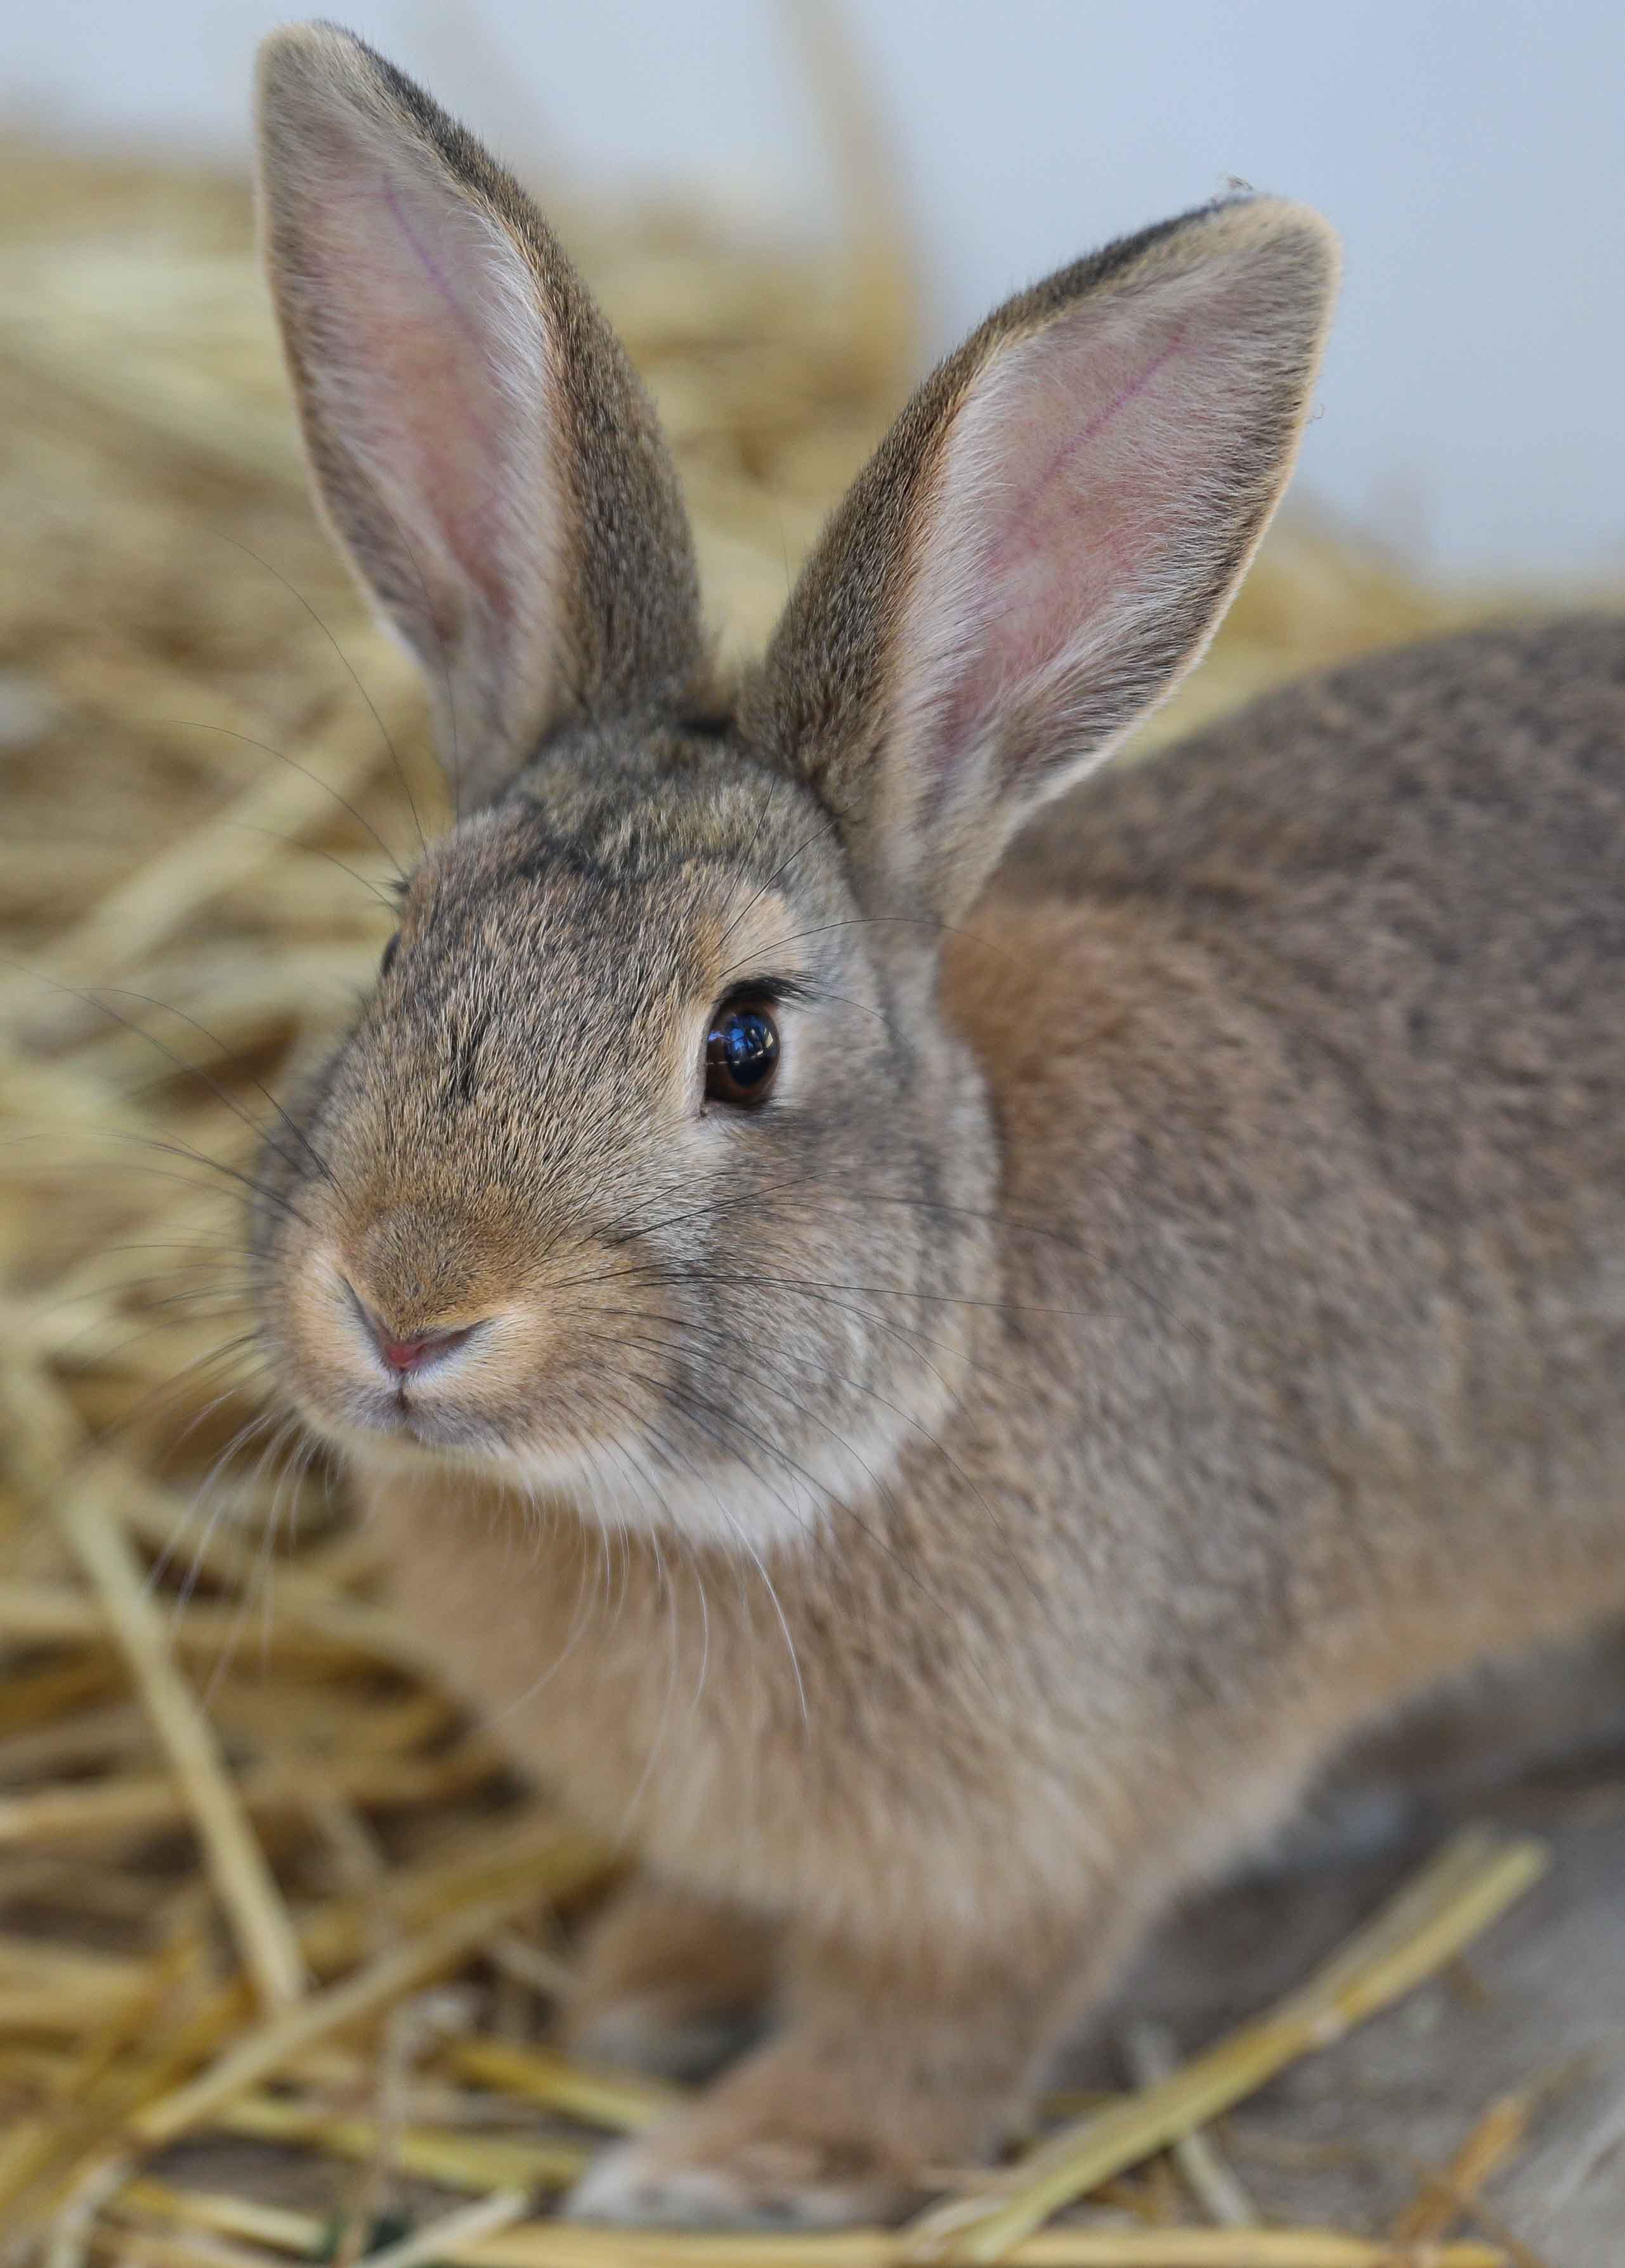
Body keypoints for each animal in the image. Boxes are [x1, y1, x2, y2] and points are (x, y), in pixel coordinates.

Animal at [249, 21, 1625, 2230]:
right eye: (399, 942)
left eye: (742, 1044)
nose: (406, 1303)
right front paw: (641, 1988)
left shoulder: (1040, 1847)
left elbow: (933, 2040)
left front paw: (732, 2158)